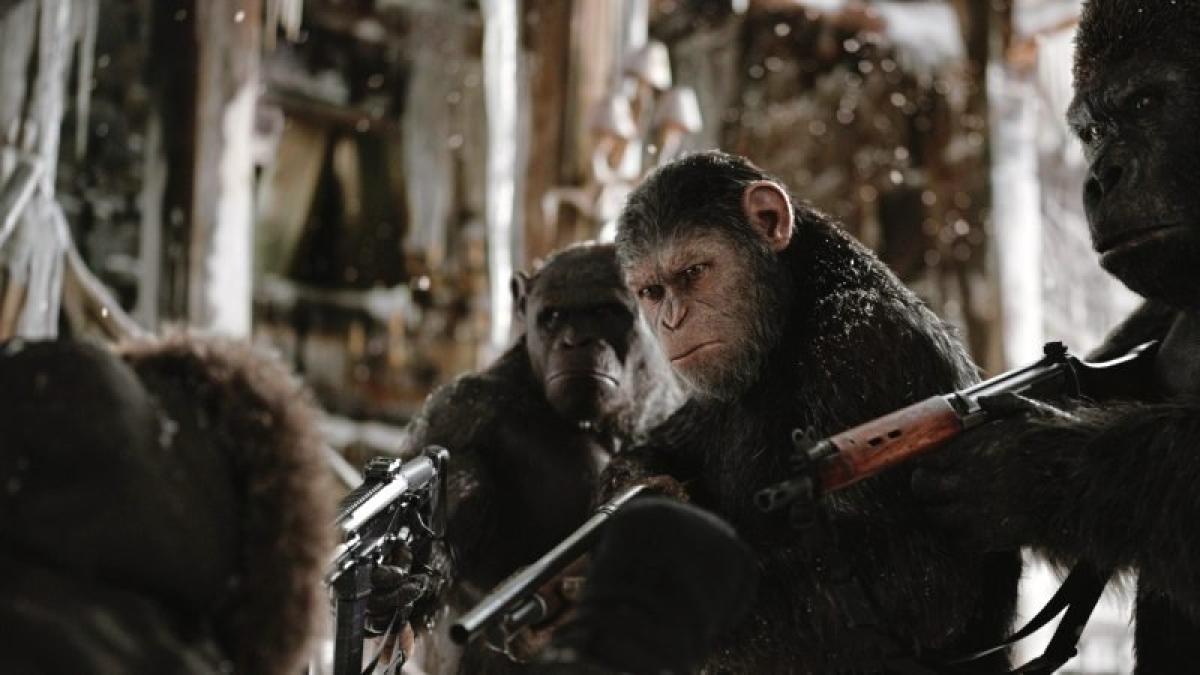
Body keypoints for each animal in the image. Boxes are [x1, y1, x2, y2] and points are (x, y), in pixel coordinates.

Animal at [593, 150, 1021, 672]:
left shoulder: (866, 351)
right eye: (652, 291)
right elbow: (656, 446)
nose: (672, 320)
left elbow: (919, 586)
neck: (794, 310)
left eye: (694, 272)